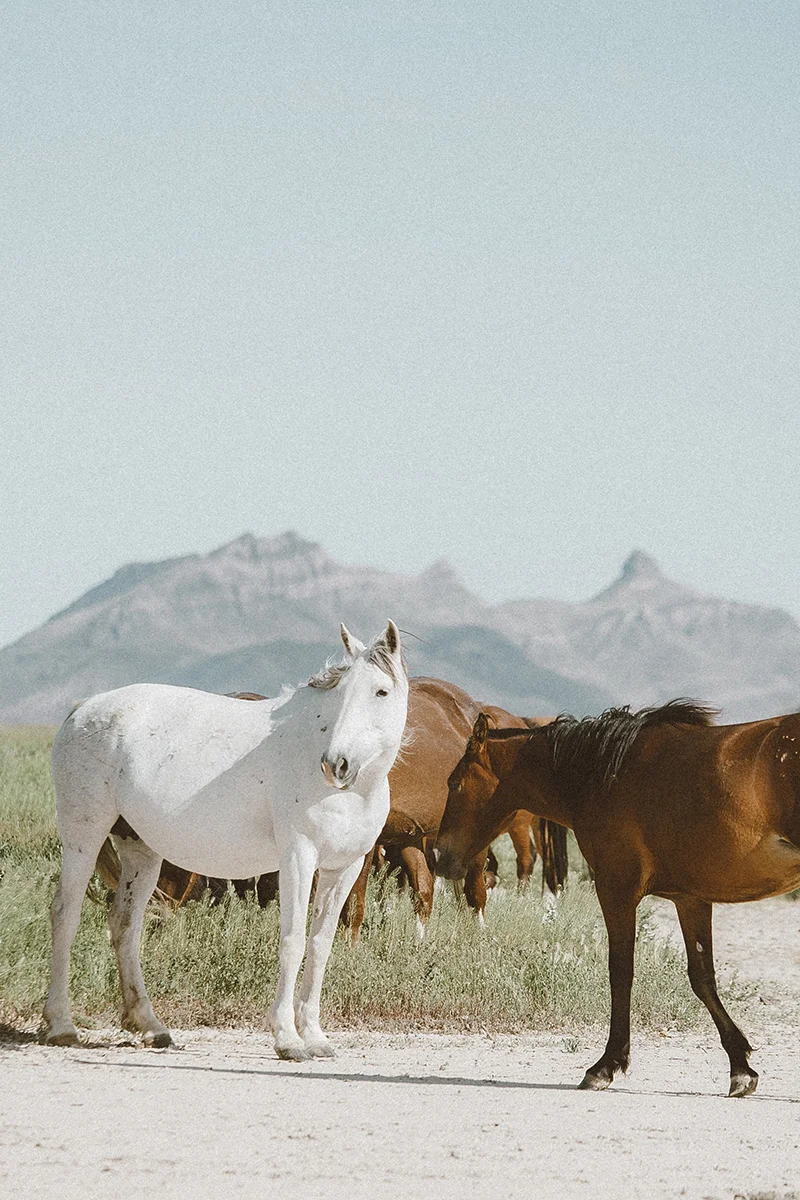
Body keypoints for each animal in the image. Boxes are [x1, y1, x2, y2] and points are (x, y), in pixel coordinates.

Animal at [43, 621, 408, 1061]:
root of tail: (82, 709)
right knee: (65, 915)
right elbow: (293, 941)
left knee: (125, 924)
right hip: (83, 837)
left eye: (381, 692)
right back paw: (61, 1025)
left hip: (140, 851)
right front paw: (288, 1038)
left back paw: (150, 1025)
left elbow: (321, 944)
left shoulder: (344, 867)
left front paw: (316, 1037)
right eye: (341, 693)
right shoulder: (298, 856)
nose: (335, 765)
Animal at [434, 702, 800, 1098]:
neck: (604, 773)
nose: (439, 857)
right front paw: (741, 1067)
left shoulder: (616, 890)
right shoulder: (690, 899)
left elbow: (620, 972)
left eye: (454, 783)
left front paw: (605, 1066)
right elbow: (702, 977)